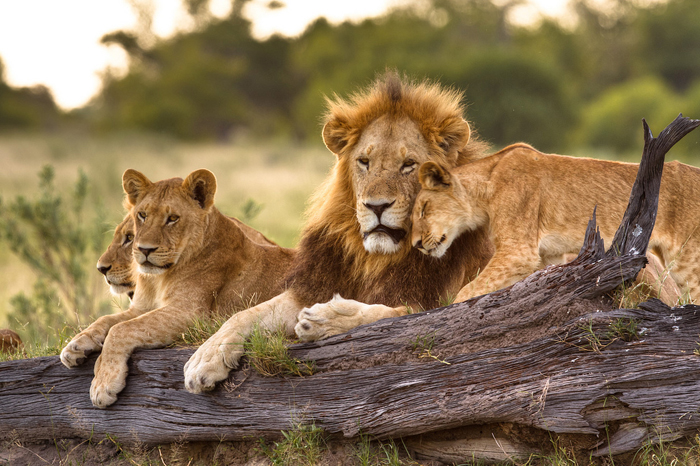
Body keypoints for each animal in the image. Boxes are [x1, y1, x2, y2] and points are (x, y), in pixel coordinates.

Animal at [60, 168, 296, 408]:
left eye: (172, 218)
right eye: (142, 215)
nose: (144, 249)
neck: (157, 279)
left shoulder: (192, 315)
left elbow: (121, 329)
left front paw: (103, 383)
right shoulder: (141, 308)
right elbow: (107, 320)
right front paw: (76, 345)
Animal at [183, 72, 495, 394]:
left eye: (409, 165)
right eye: (364, 162)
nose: (377, 206)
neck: (376, 259)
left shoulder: (439, 303)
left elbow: (385, 312)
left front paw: (327, 318)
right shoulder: (313, 286)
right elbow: (245, 314)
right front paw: (205, 358)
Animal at [411, 143, 698, 303]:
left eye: (423, 210)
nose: (415, 245)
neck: (486, 186)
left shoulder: (518, 251)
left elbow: (470, 289)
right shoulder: (545, 257)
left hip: (688, 259)